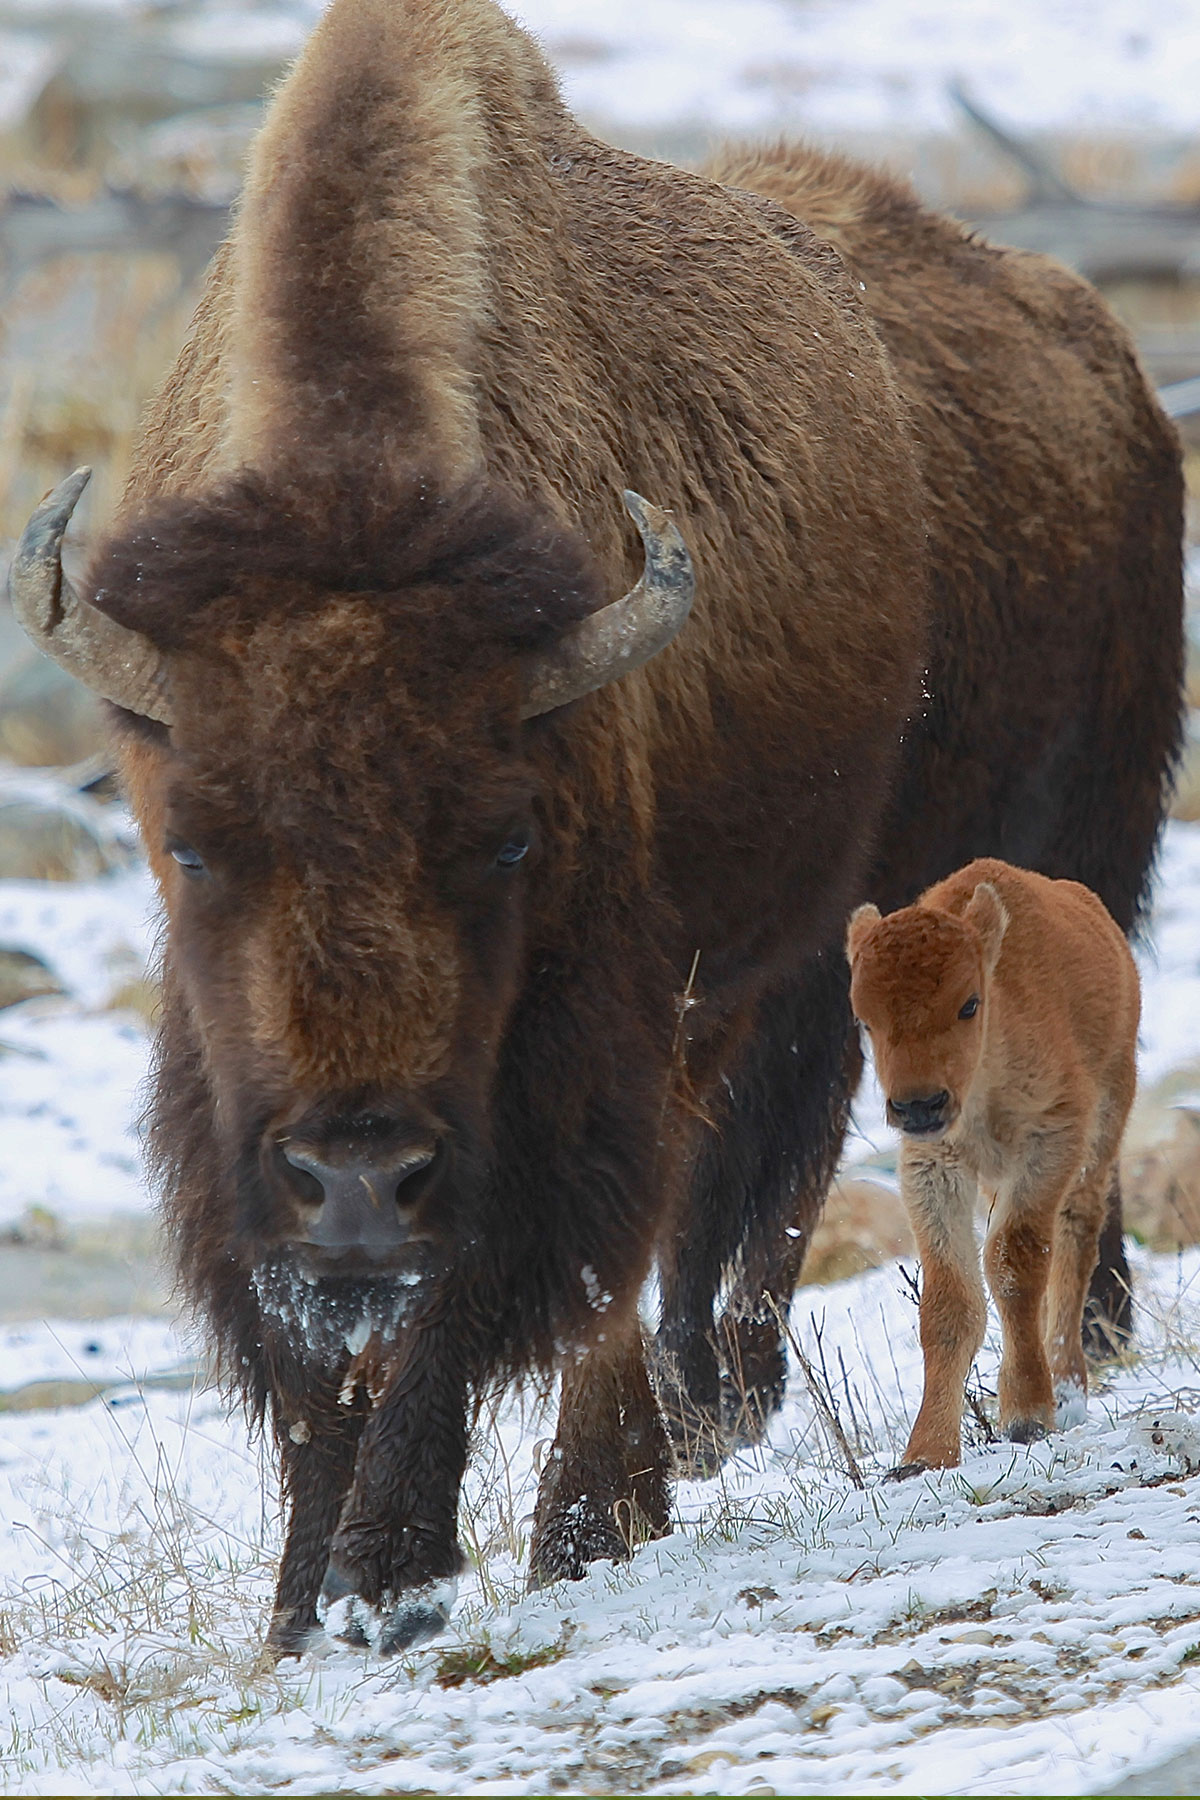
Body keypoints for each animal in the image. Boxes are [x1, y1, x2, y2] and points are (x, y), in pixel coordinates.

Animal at [9, 0, 1181, 1655]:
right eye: (189, 845)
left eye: (507, 841)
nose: (358, 1184)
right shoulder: (231, 1093)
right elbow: (310, 1347)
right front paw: (304, 1608)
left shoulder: (575, 1049)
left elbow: (504, 1287)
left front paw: (401, 1575)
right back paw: (701, 1417)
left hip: (1045, 853)